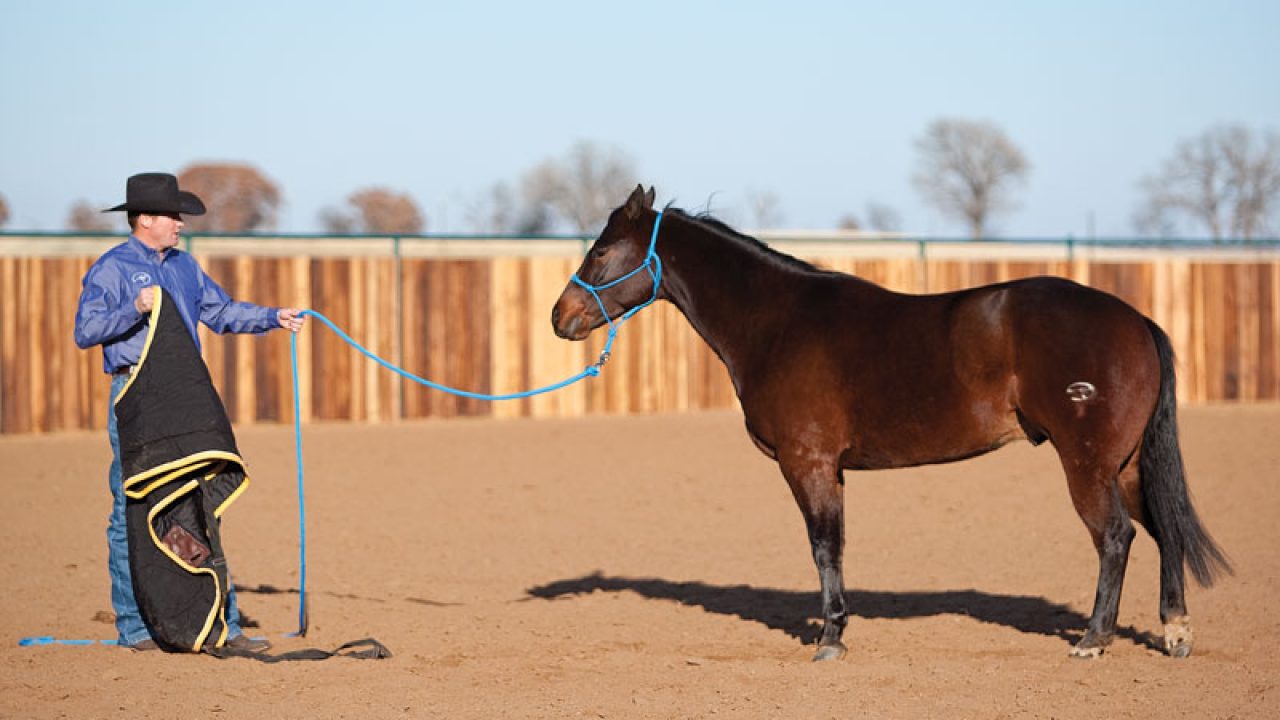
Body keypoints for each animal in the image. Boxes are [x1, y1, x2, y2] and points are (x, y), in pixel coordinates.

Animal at [551, 185, 1231, 662]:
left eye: (602, 249)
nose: (561, 316)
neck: (779, 321)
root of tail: (1135, 320)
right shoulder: (830, 469)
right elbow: (835, 547)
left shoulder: (809, 463)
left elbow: (824, 548)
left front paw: (830, 639)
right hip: (1128, 464)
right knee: (1165, 531)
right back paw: (1175, 633)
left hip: (1088, 464)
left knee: (1116, 537)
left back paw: (1093, 639)